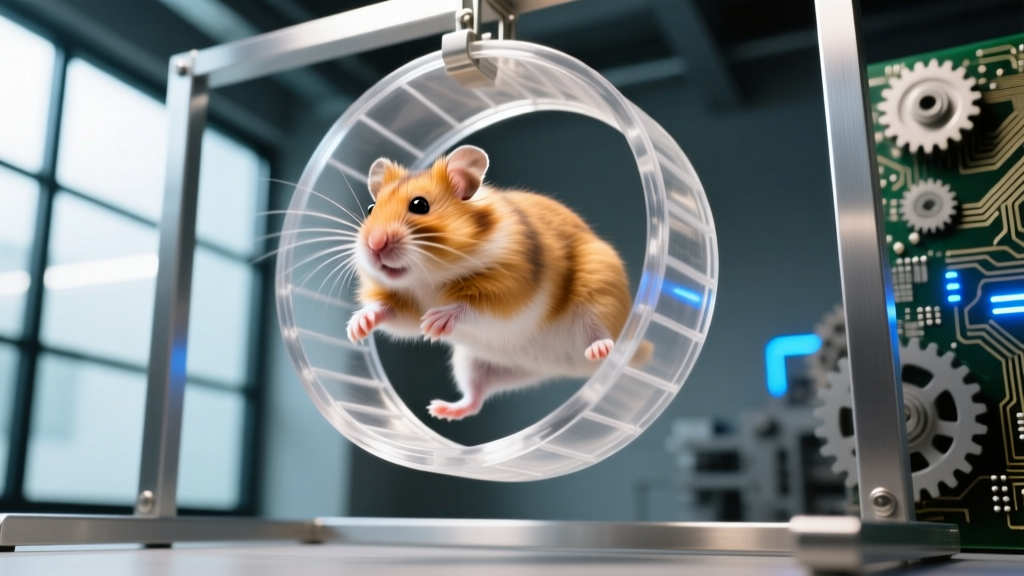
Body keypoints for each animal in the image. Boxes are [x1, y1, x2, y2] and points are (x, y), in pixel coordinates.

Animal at [347, 145, 645, 421]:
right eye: (371, 209)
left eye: (420, 205)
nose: (374, 245)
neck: (430, 277)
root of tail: (576, 369)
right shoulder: (405, 303)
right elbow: (392, 315)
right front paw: (356, 329)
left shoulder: (509, 289)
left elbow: (470, 307)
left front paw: (434, 323)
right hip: (474, 363)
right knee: (476, 396)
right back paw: (441, 410)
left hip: (598, 293)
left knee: (607, 334)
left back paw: (600, 350)